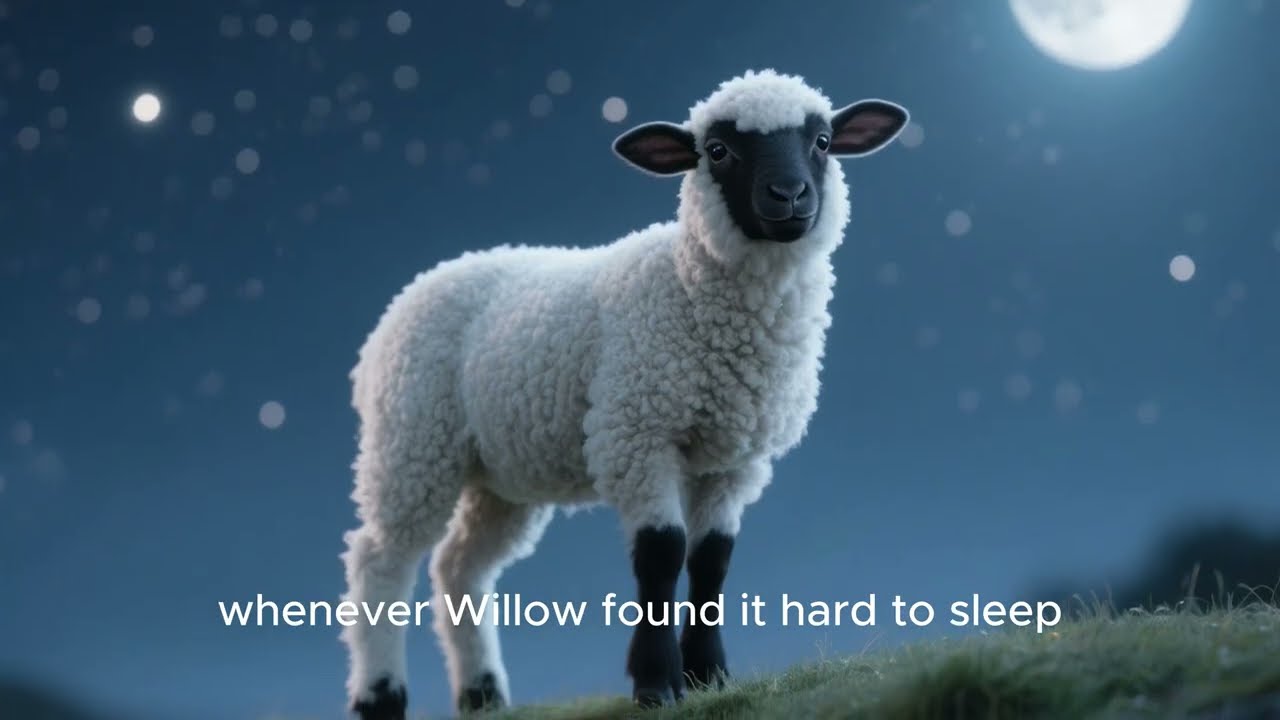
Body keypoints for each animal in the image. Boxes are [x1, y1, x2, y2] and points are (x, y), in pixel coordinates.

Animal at [340, 69, 909, 720]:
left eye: (822, 141)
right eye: (718, 151)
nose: (789, 195)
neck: (690, 289)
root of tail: (412, 291)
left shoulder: (734, 460)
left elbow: (712, 560)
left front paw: (711, 678)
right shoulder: (638, 433)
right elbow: (662, 554)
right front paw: (656, 684)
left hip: (499, 476)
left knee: (459, 567)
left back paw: (483, 695)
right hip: (411, 441)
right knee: (381, 560)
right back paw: (380, 696)